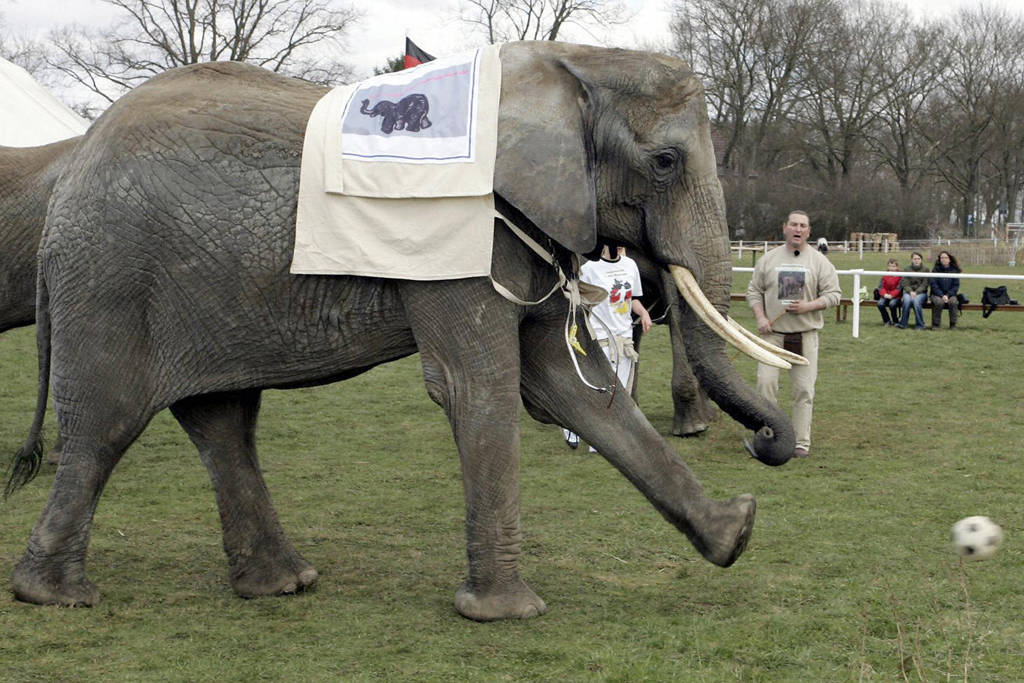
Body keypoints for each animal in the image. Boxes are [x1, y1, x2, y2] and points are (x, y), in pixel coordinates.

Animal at [6, 42, 798, 621]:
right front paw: (506, 613)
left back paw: (284, 583)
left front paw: (736, 533)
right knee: (107, 423)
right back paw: (55, 596)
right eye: (664, 161)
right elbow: (480, 385)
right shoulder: (463, 224)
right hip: (112, 280)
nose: (767, 446)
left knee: (223, 422)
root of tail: (69, 175)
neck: (569, 63)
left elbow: (573, 386)